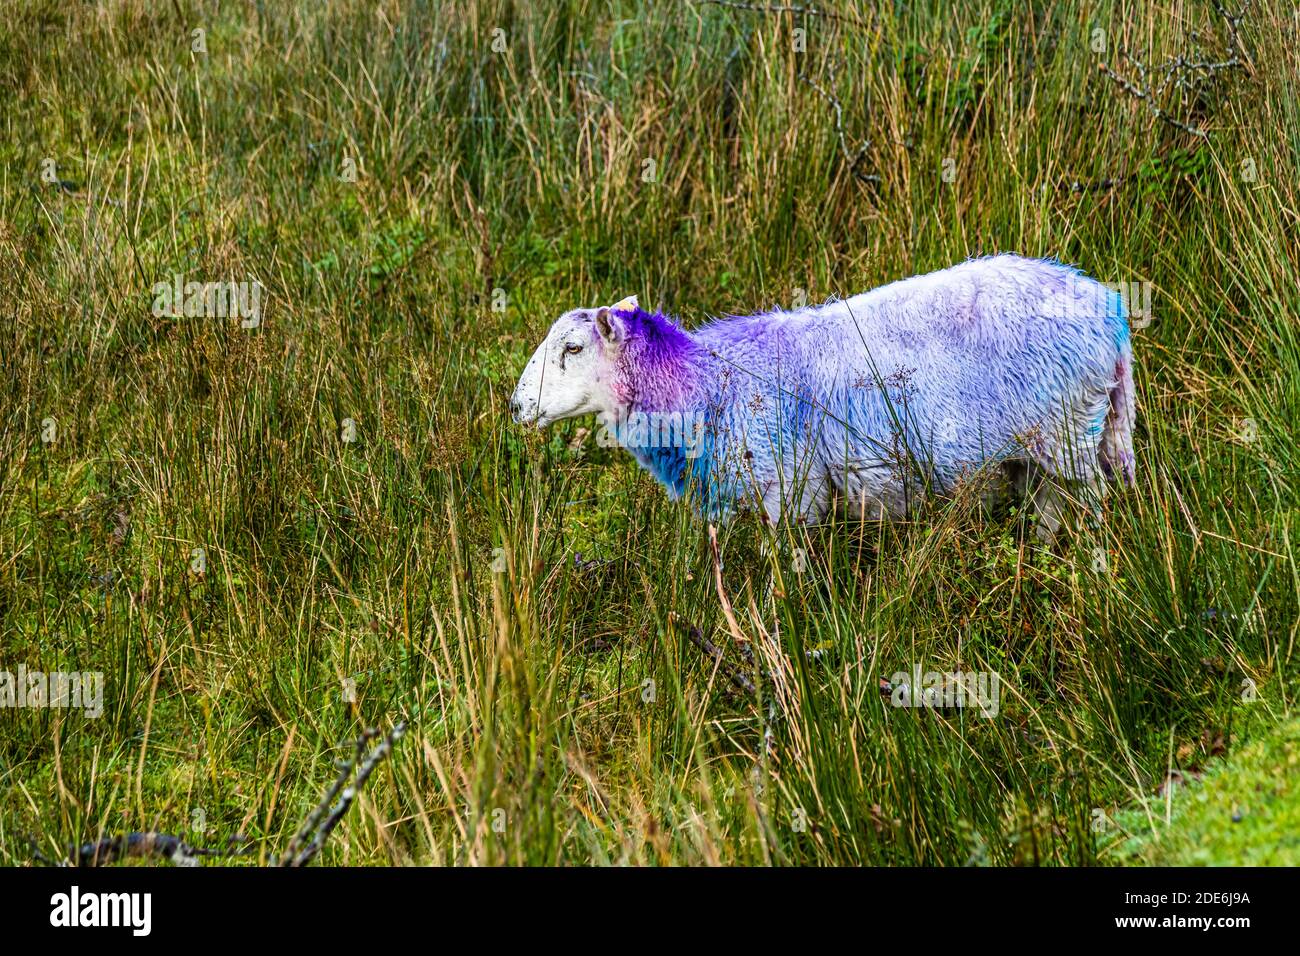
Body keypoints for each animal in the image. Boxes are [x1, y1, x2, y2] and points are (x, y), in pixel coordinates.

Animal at [510, 255, 1136, 541]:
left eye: (572, 348)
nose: (516, 407)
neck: (702, 384)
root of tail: (1107, 308)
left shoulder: (793, 493)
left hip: (1067, 436)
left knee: (1089, 501)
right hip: (1041, 452)